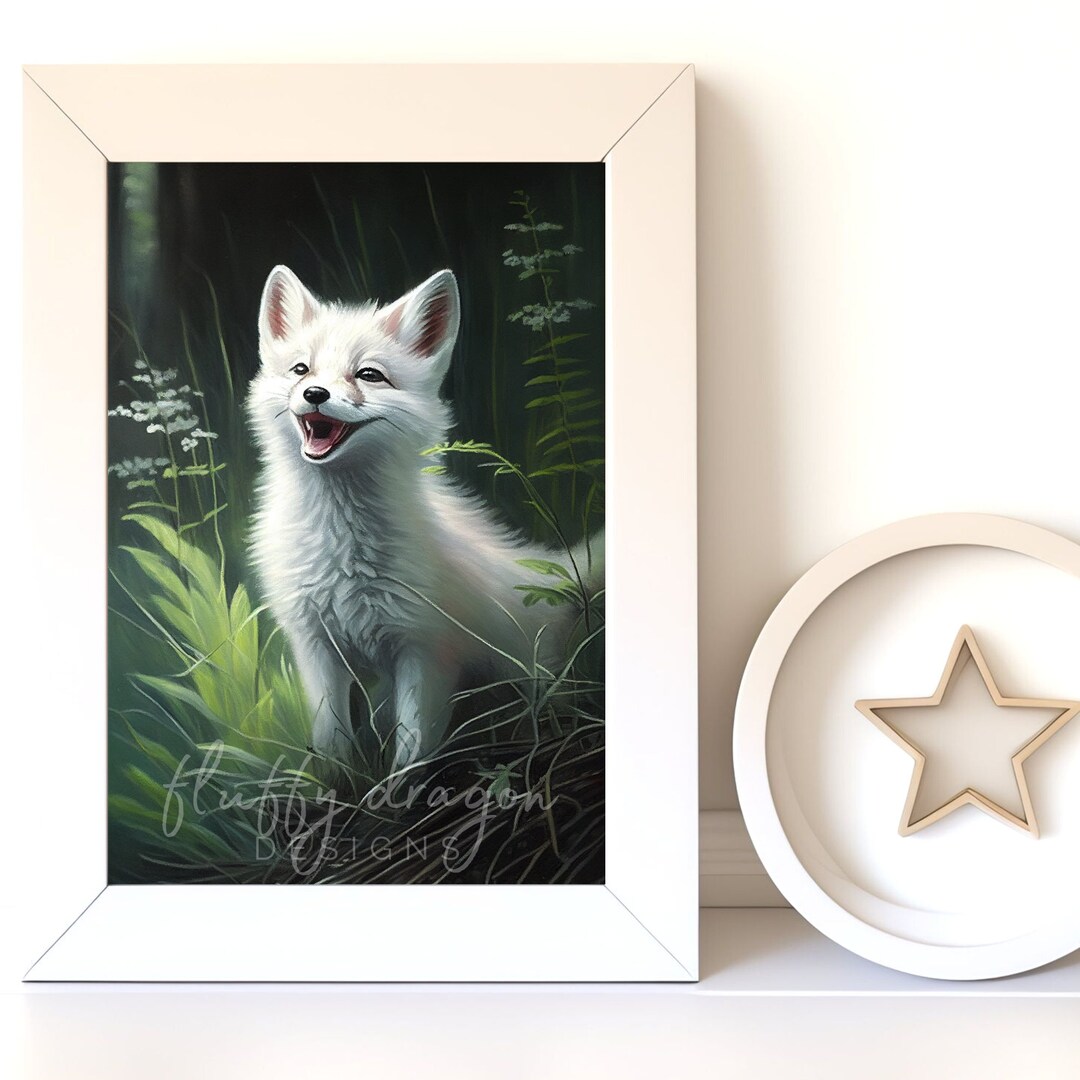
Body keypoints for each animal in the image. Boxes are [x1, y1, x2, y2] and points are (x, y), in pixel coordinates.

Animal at [246, 265, 602, 770]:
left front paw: (400, 791)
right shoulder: (315, 644)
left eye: (369, 375)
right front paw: (338, 785)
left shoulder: (425, 649)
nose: (314, 393)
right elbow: (332, 742)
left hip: (532, 675)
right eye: (301, 369)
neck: (344, 553)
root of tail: (540, 572)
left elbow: (412, 749)